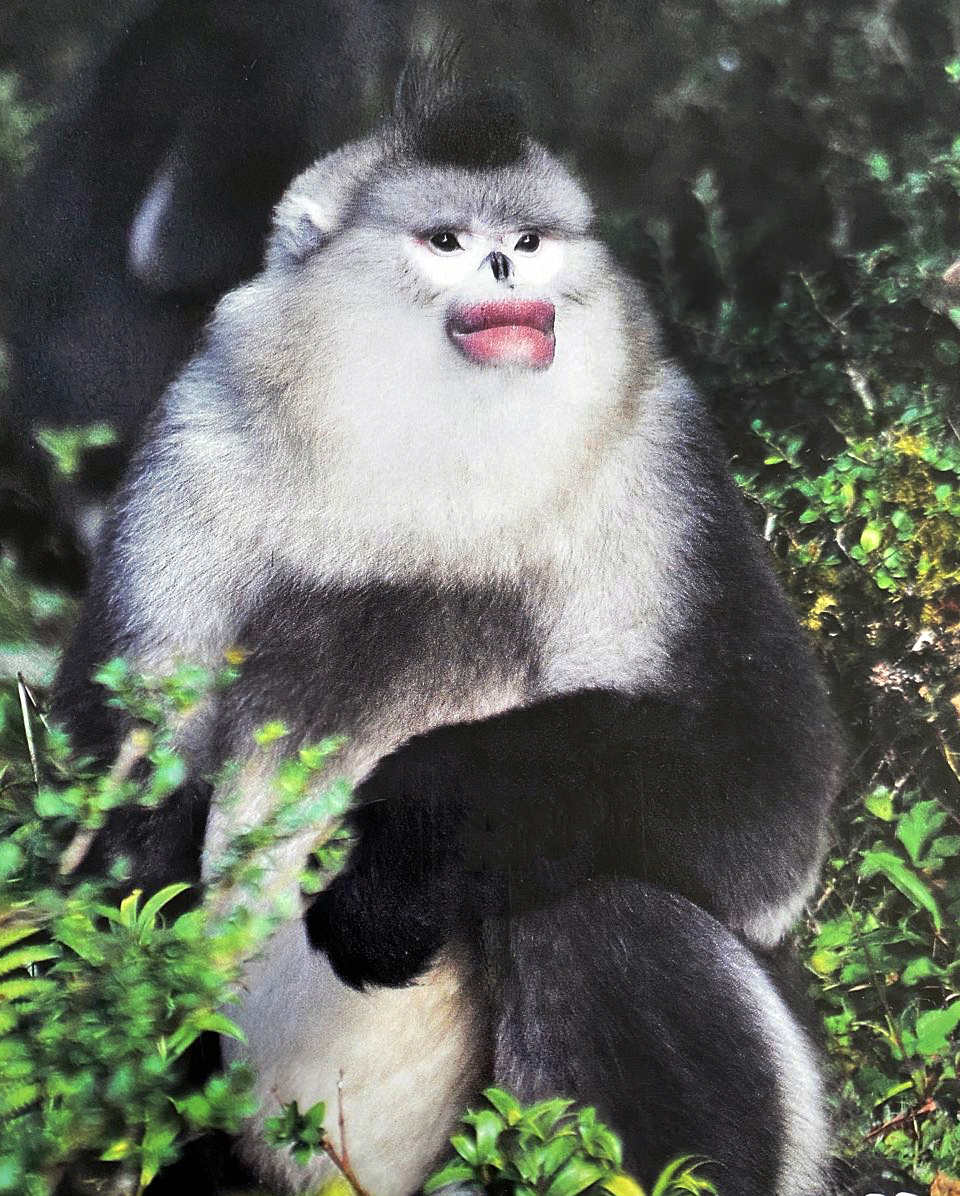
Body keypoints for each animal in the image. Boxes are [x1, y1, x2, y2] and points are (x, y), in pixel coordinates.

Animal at [52, 75, 841, 1196]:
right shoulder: (195, 433)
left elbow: (765, 800)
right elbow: (123, 789)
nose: (507, 267)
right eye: (446, 239)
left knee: (596, 897)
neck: (431, 481)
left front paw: (405, 847)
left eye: (528, 239)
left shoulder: (659, 449)